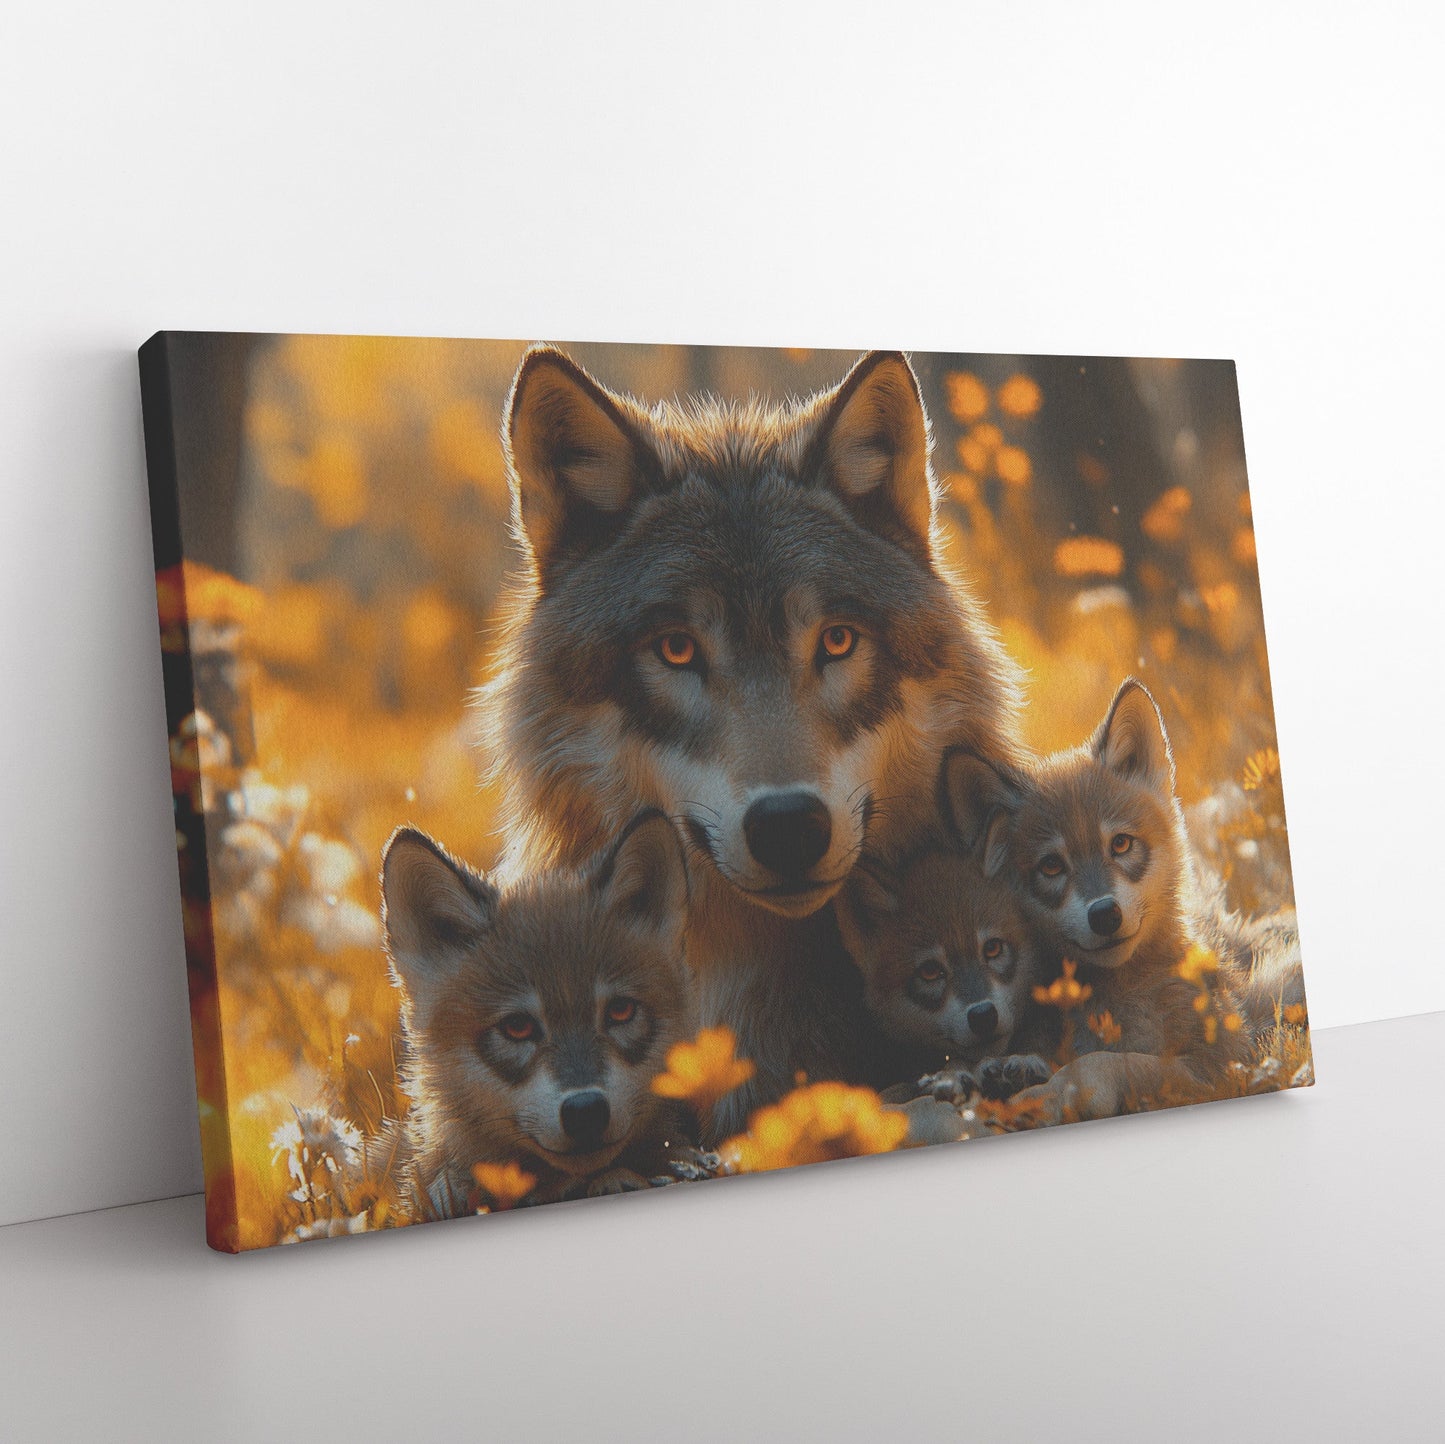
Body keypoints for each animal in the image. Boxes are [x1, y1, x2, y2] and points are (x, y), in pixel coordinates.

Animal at [945, 679, 1257, 1120]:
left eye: (1121, 844)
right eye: (1052, 866)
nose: (1105, 914)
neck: (1118, 1003)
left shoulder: (1228, 1062)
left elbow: (1109, 1062)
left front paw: (1052, 1092)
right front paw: (1010, 1071)